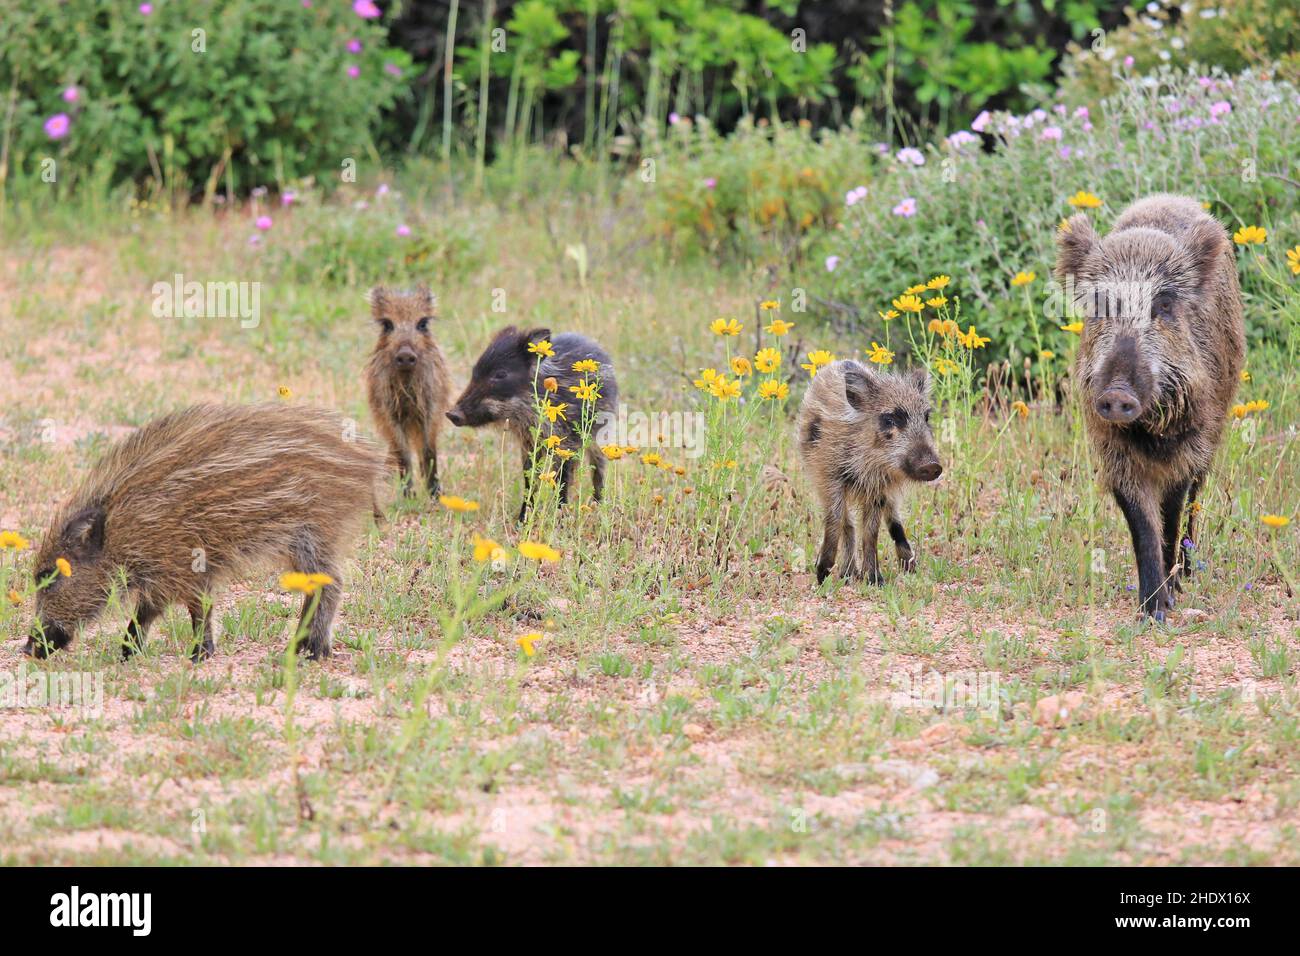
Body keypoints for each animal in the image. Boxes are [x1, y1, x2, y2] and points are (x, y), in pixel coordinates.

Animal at [1056, 193, 1245, 621]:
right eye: (1100, 304)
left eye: (1163, 305)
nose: (1117, 393)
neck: (1147, 431)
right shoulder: (1111, 450)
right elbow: (1141, 524)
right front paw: (1150, 611)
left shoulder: (1191, 443)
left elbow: (1170, 512)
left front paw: (1170, 598)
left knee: (1195, 500)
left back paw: (1189, 572)